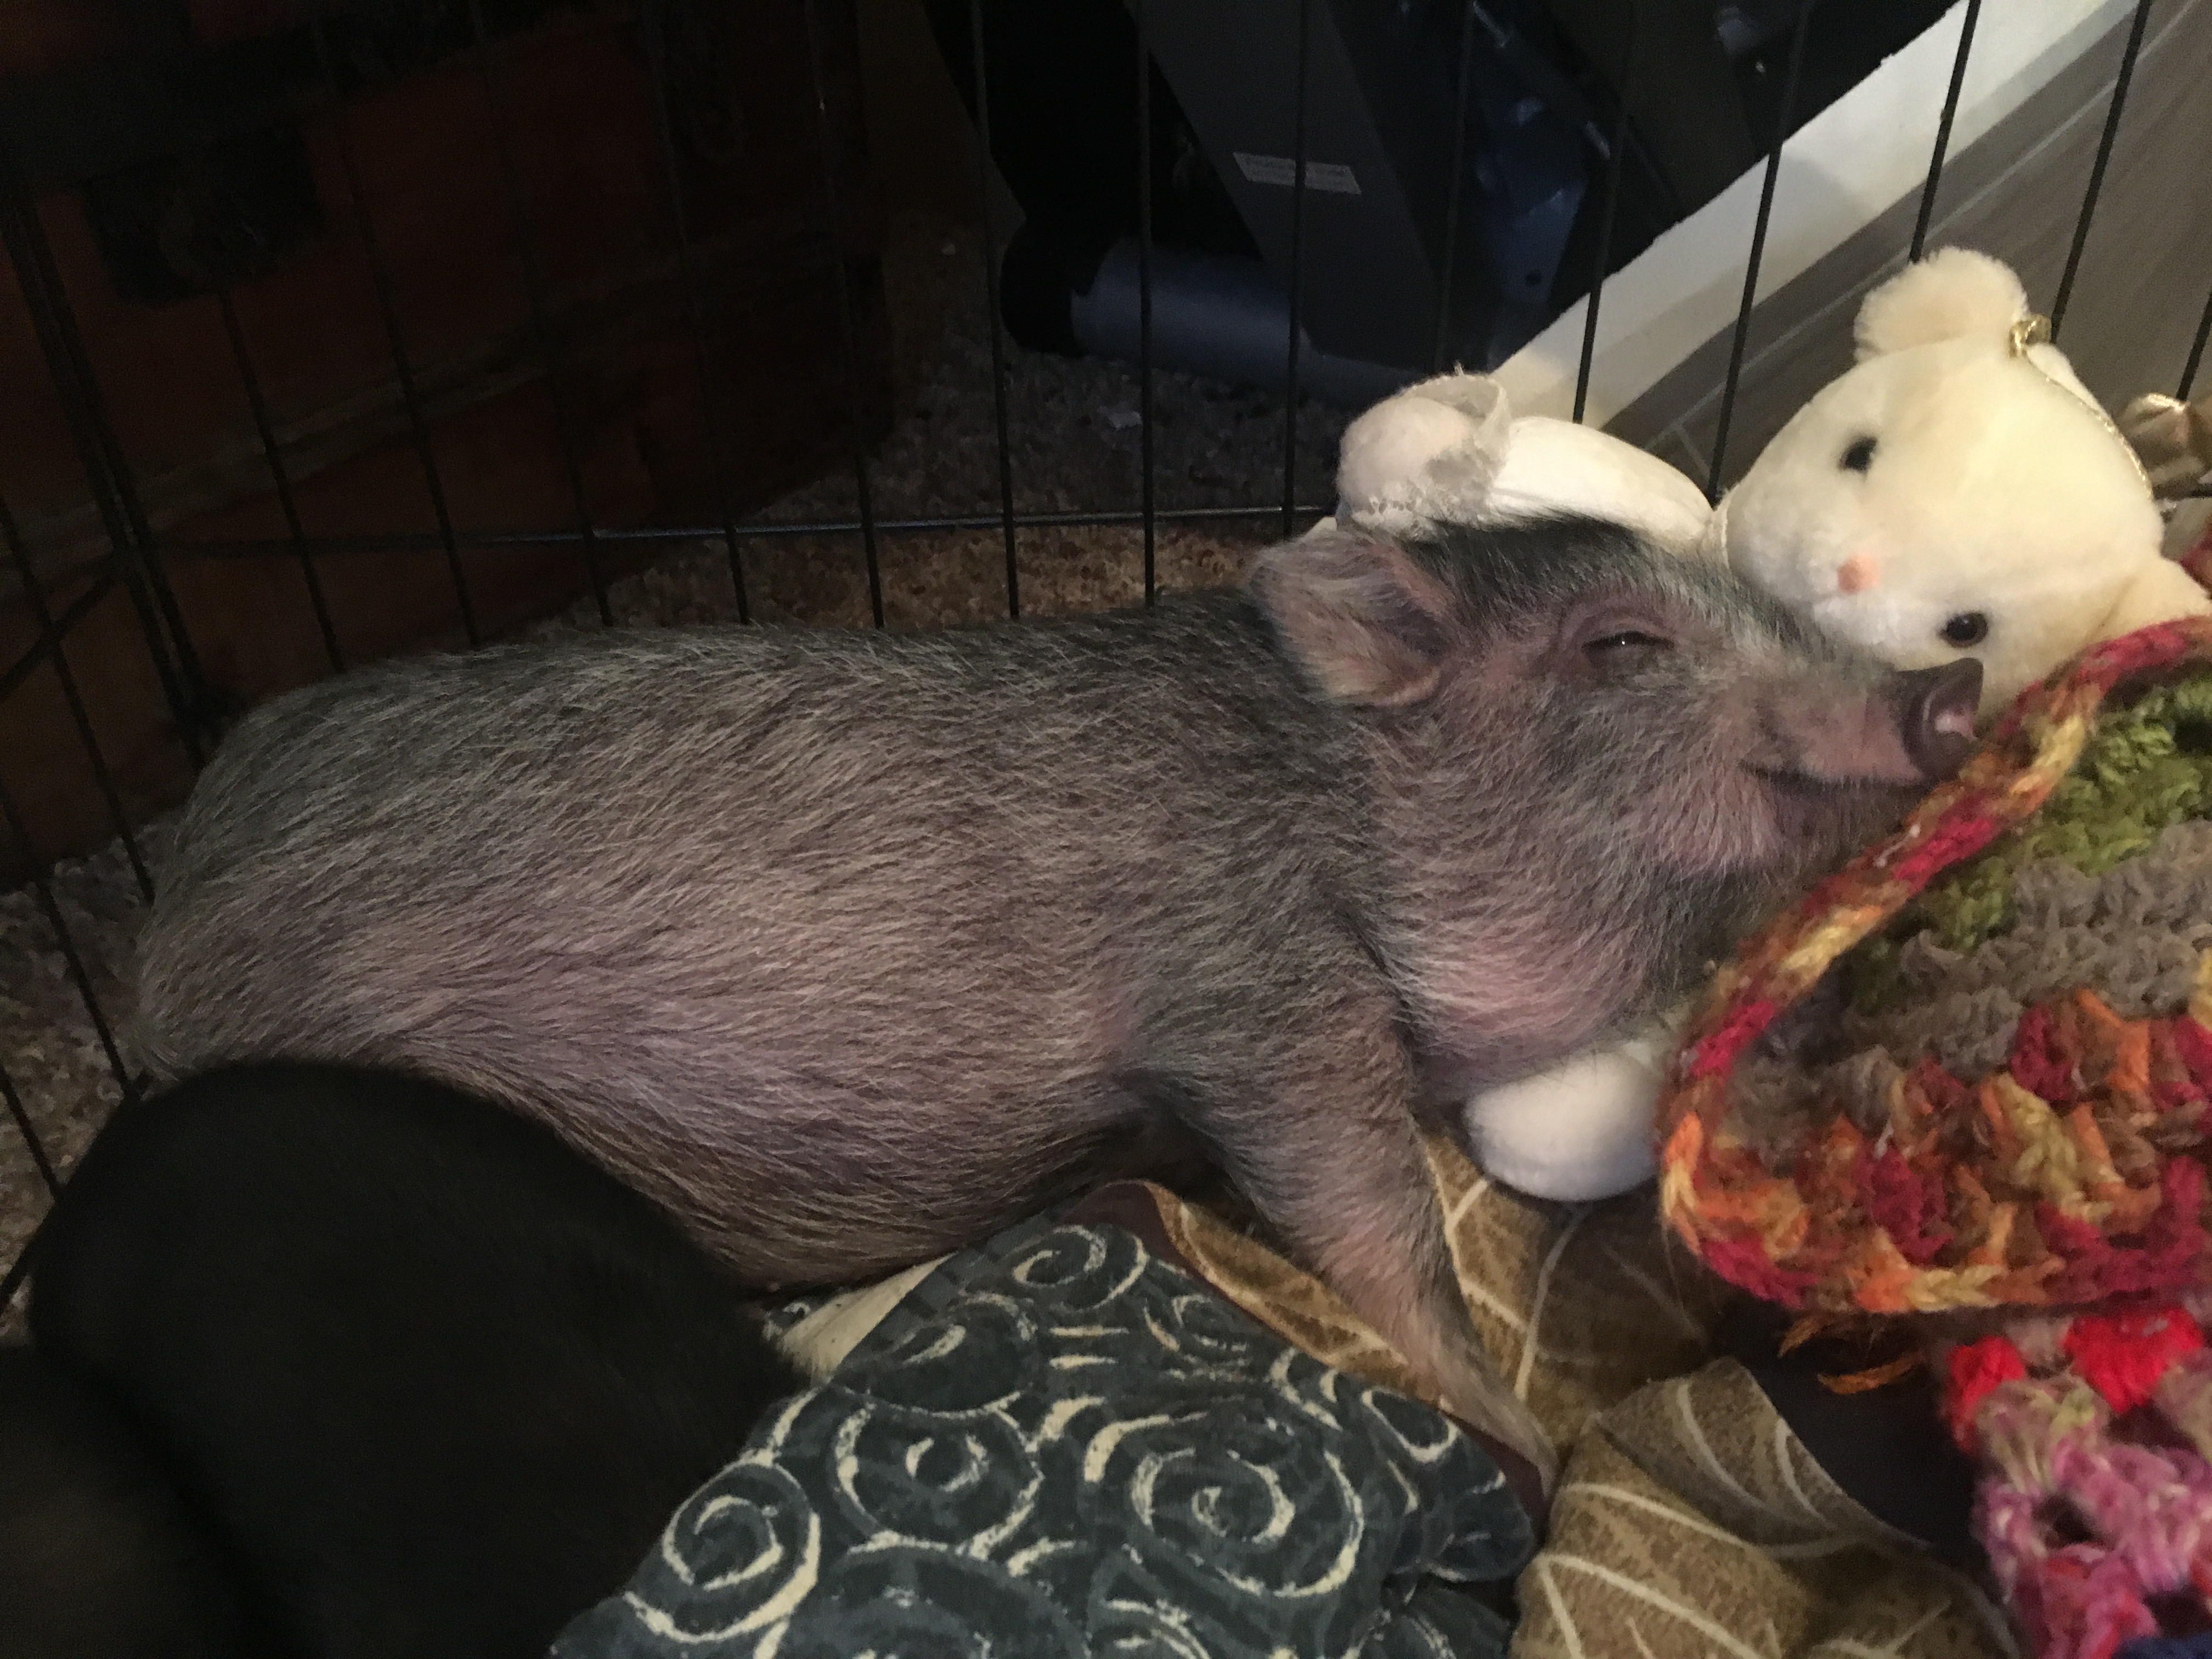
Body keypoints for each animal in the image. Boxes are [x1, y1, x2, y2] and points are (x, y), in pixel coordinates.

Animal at [130, 517, 1982, 1492]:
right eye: (1620, 647)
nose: (1951, 683)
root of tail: (160, 941)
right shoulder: (1258, 1003)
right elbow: (1374, 1225)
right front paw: (1524, 1438)